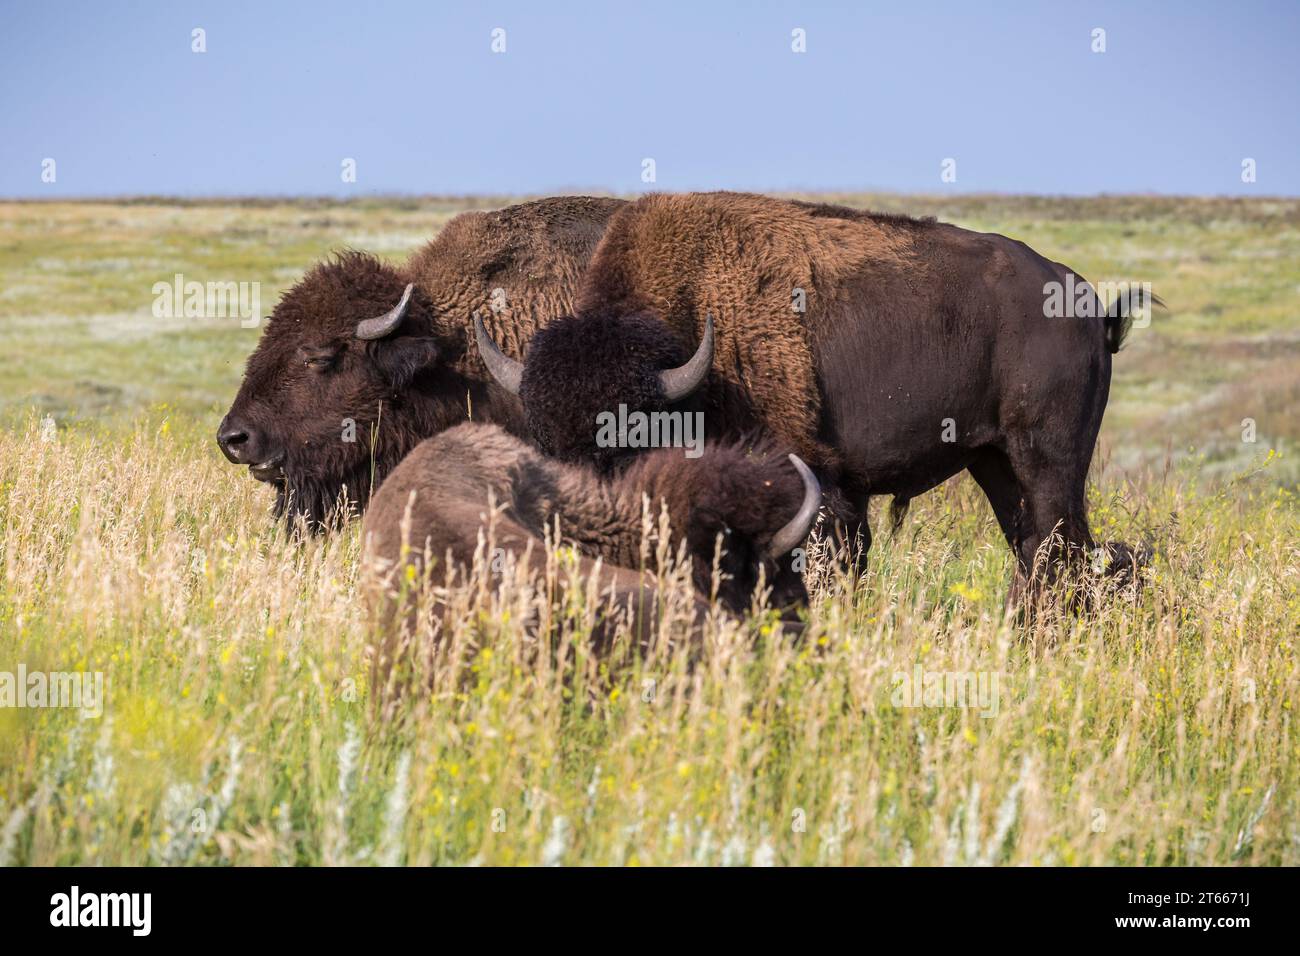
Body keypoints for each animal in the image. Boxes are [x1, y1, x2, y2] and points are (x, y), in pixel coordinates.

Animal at [475, 191, 1156, 598]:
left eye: (623, 441)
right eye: (542, 439)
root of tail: (1088, 307)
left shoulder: (813, 485)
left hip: (1048, 461)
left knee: (1063, 551)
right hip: (995, 462)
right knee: (1044, 549)